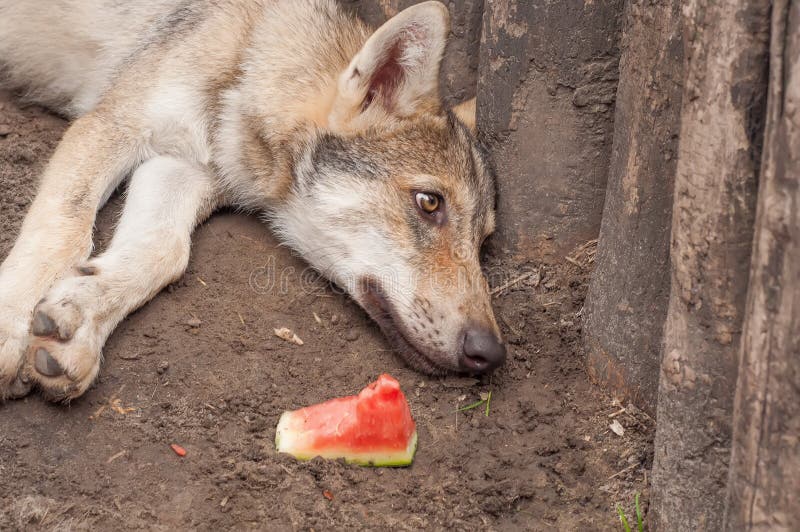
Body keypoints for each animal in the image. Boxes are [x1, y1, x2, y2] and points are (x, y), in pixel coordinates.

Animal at [0, 0, 506, 401]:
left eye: (483, 241)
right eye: (429, 202)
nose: (491, 352)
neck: (245, 62)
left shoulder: (179, 167)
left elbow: (164, 253)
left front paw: (79, 320)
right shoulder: (108, 125)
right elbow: (64, 235)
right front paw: (9, 330)